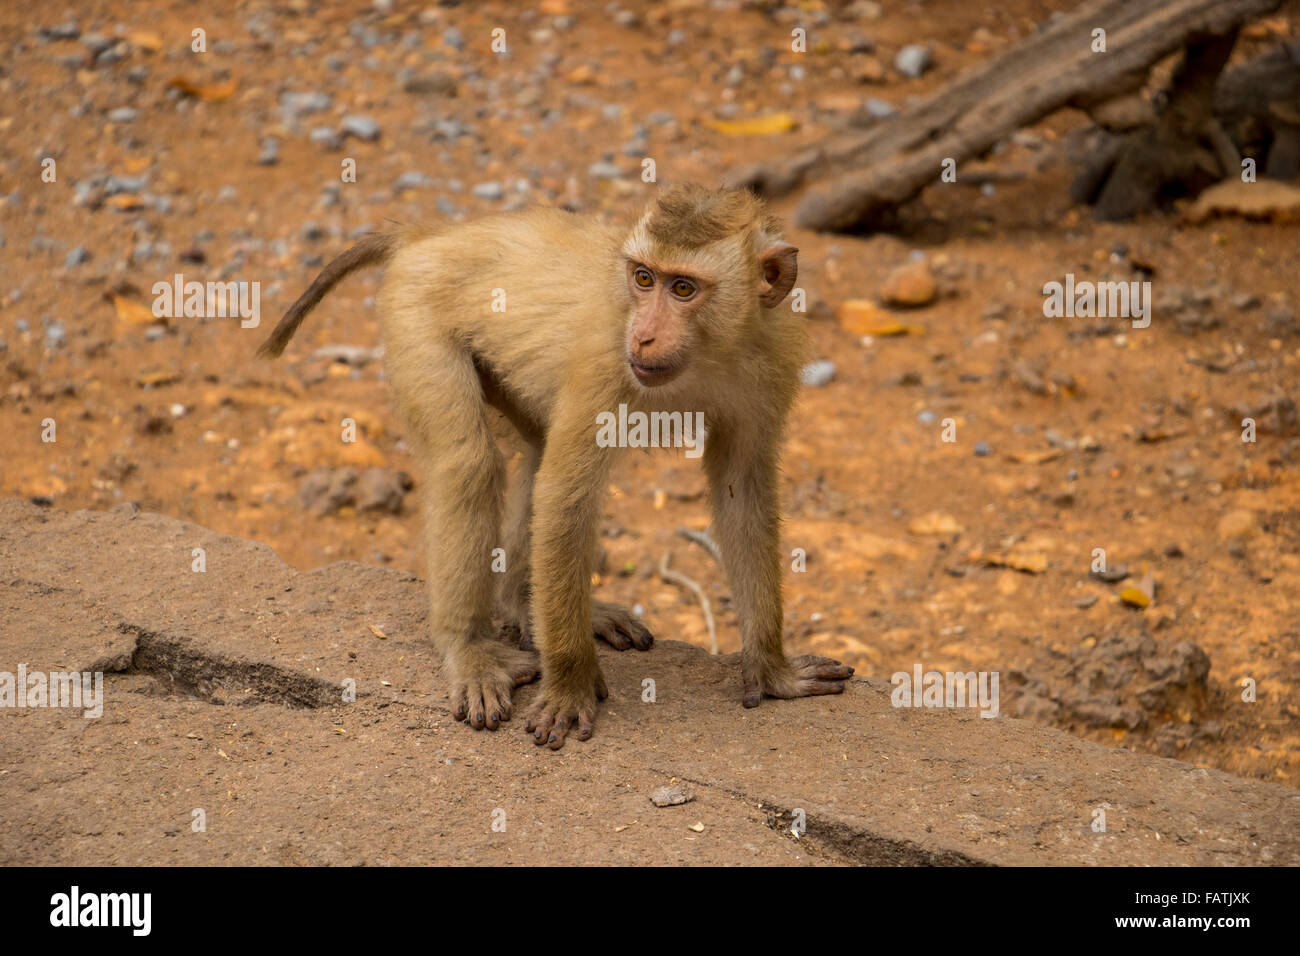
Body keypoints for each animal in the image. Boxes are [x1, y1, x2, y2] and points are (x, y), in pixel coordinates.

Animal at [258, 183, 854, 749]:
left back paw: (524, 606)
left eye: (683, 288)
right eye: (644, 279)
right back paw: (468, 647)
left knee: (536, 447)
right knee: (468, 463)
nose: (643, 335)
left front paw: (771, 670)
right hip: (413, 311)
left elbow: (741, 490)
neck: (711, 352)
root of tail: (429, 235)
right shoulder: (607, 361)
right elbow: (567, 498)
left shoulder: (772, 359)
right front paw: (568, 686)